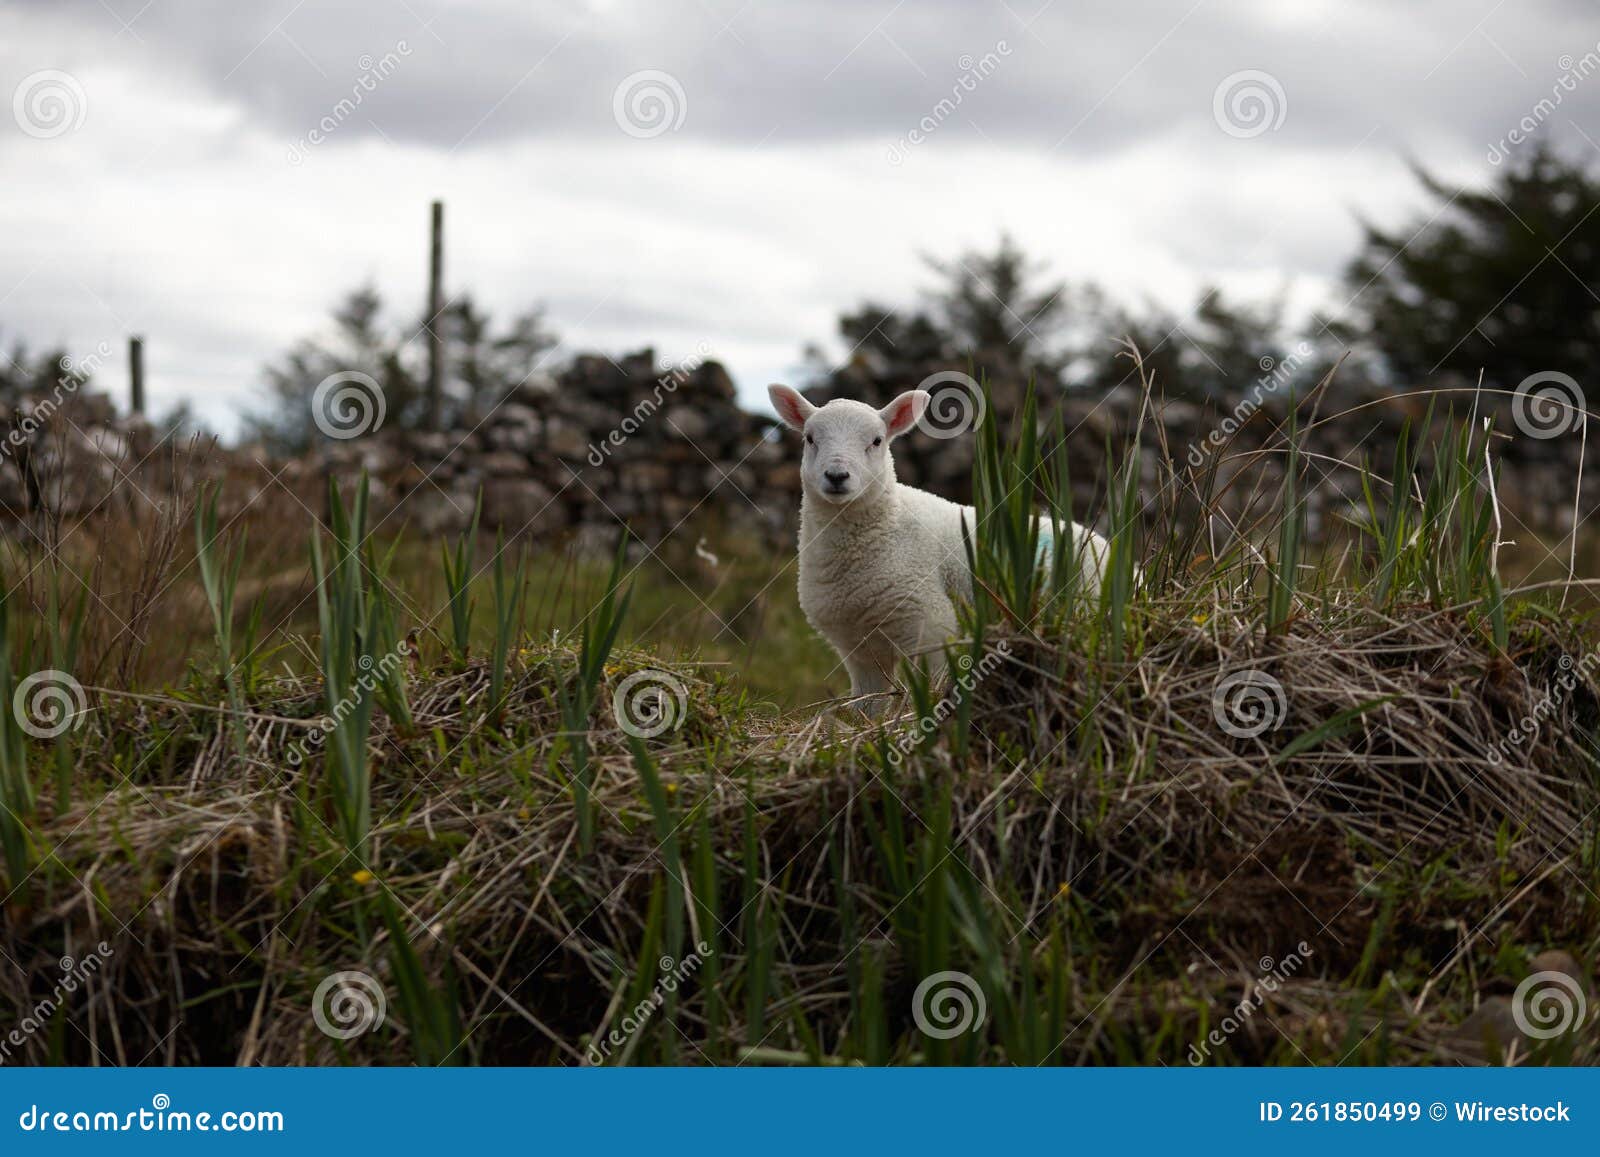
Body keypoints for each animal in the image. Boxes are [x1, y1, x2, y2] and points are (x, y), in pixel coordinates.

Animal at [769, 383, 1117, 709]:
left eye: (877, 441)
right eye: (810, 438)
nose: (837, 476)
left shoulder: (932, 626)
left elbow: (931, 689)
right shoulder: (860, 650)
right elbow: (868, 707)